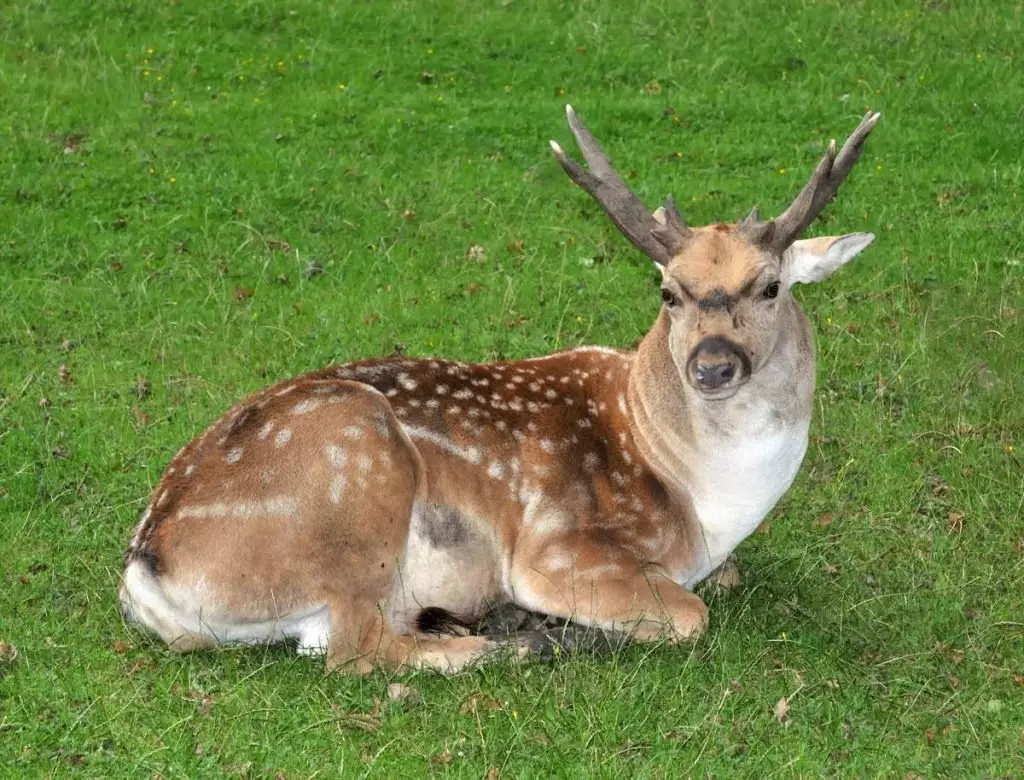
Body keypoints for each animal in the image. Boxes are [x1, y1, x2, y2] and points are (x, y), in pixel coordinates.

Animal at [117, 106, 880, 671]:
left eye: (771, 286)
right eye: (668, 292)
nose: (712, 365)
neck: (706, 499)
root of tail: (145, 569)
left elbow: (726, 581)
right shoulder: (556, 545)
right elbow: (691, 613)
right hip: (358, 475)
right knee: (359, 649)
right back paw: (518, 640)